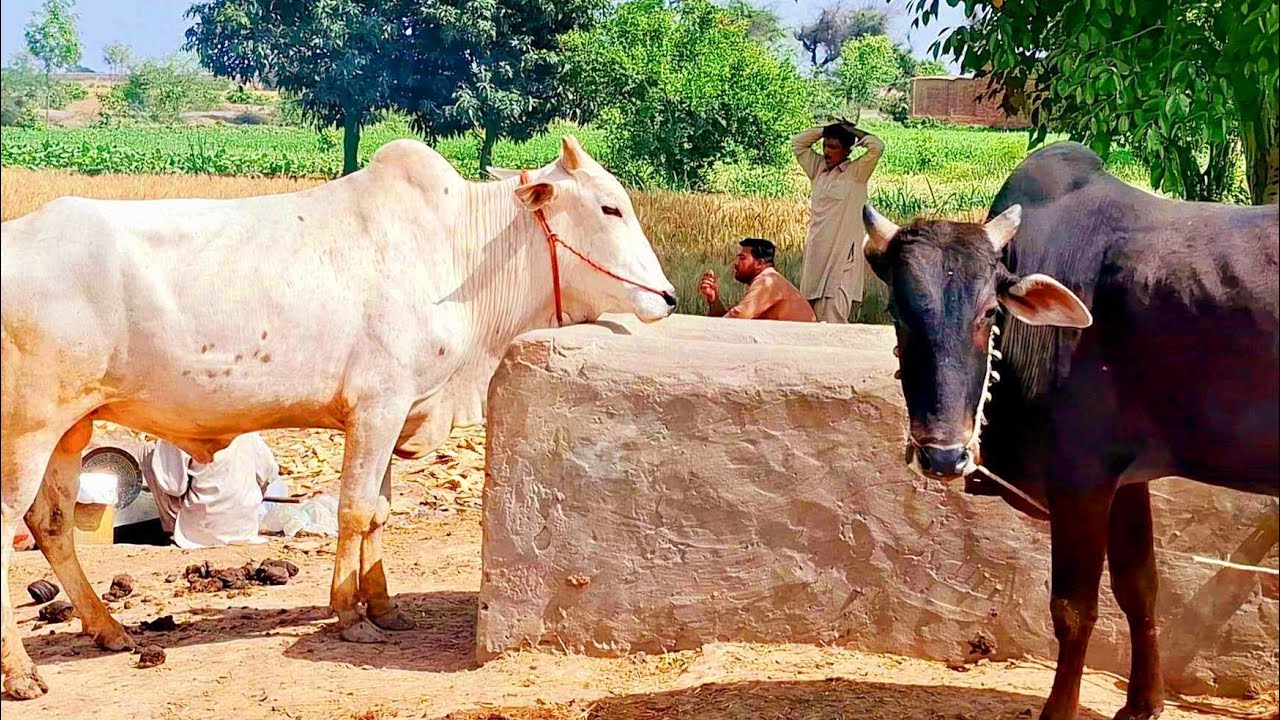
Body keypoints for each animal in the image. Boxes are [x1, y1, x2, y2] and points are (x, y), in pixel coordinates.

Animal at [0, 136, 677, 699]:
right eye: (611, 208)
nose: (669, 298)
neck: (459, 254)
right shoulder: (377, 406)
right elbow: (354, 510)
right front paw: (350, 615)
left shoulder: (398, 413)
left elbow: (377, 512)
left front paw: (385, 608)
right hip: (26, 431)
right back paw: (23, 674)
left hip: (70, 428)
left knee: (51, 524)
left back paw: (109, 629)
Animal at [861, 141, 1279, 720]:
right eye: (899, 312)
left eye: (988, 312)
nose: (944, 456)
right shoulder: (1126, 479)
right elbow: (1139, 586)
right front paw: (1142, 702)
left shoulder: (1081, 480)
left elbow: (1073, 608)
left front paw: (1060, 709)